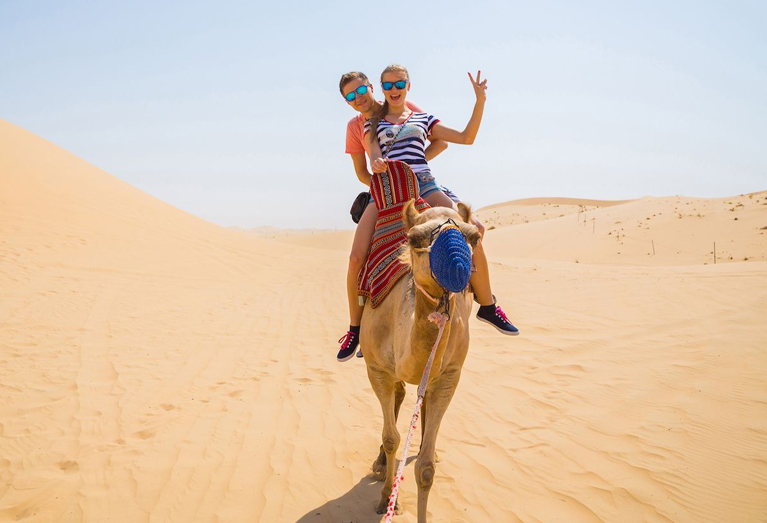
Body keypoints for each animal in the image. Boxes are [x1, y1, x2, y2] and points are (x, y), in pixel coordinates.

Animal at [360, 198, 481, 522]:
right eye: (415, 240)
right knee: (400, 396)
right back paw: (380, 464)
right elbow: (392, 438)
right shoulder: (377, 369)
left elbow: (425, 469)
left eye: (474, 237)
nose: (458, 267)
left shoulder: (450, 374)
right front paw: (386, 499)